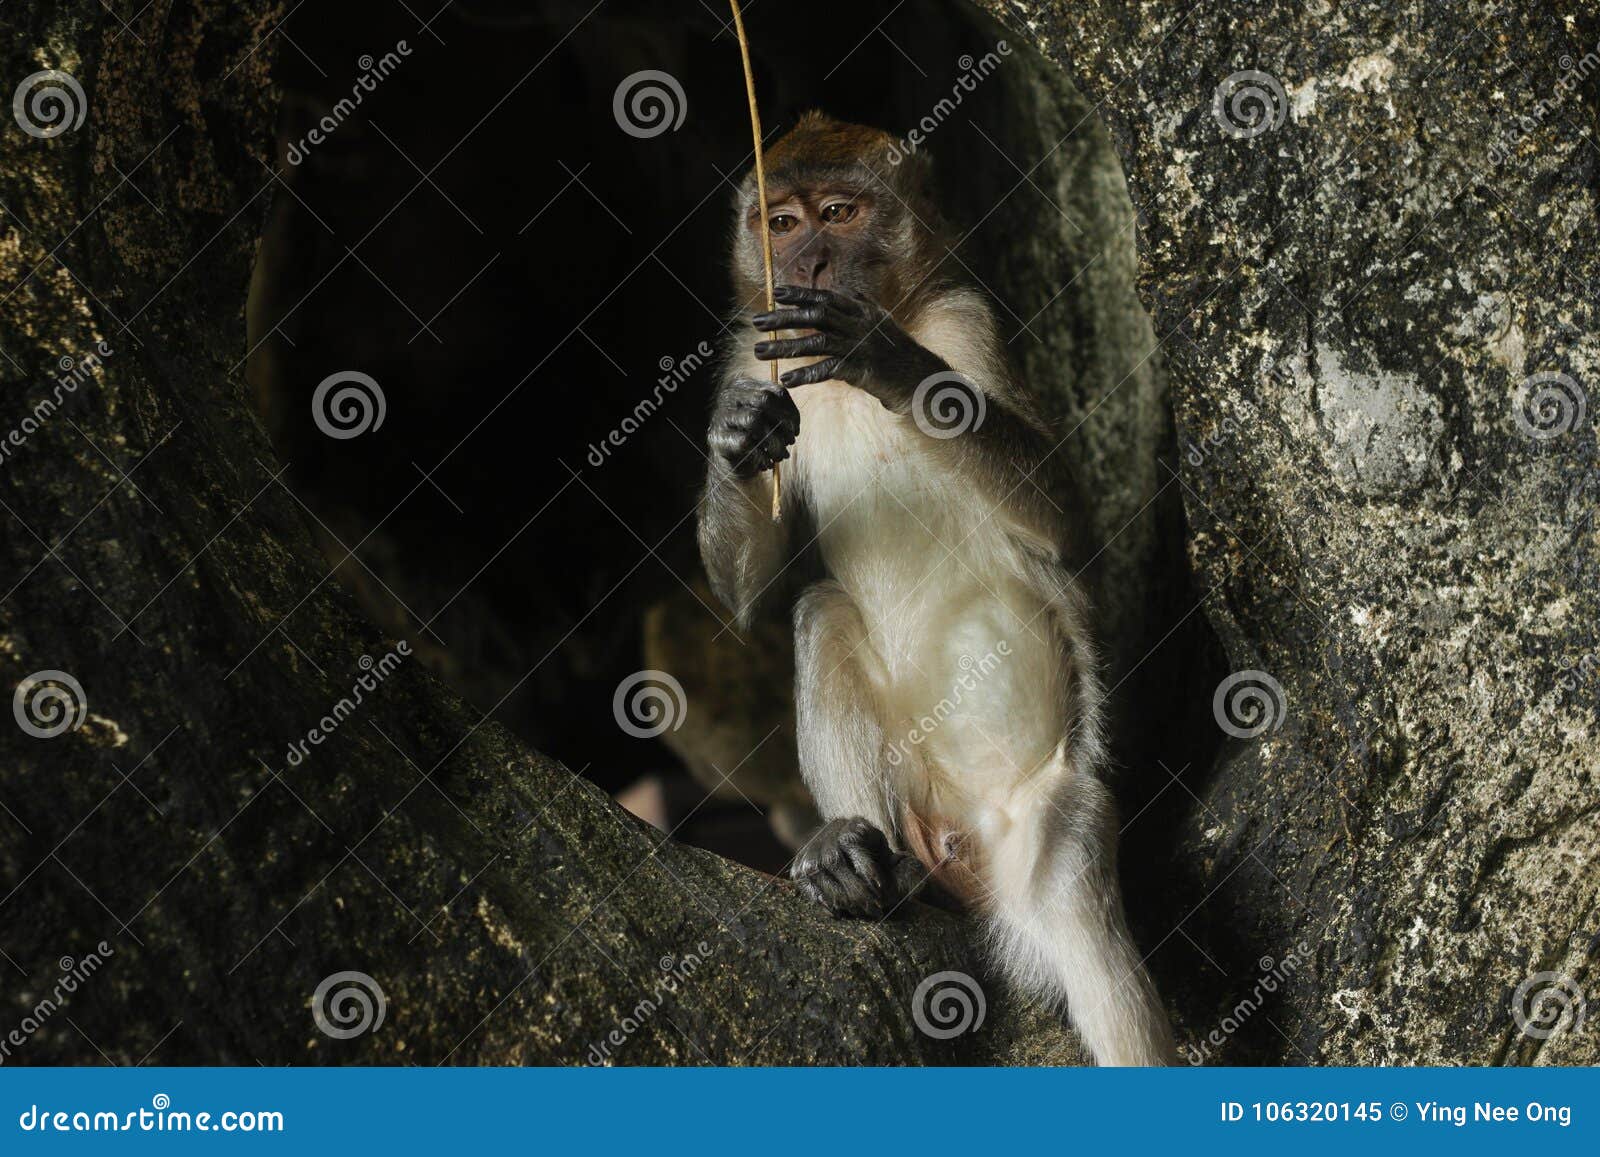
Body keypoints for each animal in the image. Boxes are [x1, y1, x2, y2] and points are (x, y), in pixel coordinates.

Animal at [695, 111, 1175, 1066]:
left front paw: (883, 357)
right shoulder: (753, 352)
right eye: (780, 222)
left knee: (1072, 891)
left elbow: (1064, 524)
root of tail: (968, 840)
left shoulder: (966, 321)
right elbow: (751, 595)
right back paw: (854, 860)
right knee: (820, 613)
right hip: (913, 798)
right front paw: (735, 432)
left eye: (838, 213)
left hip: (1045, 813)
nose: (808, 262)